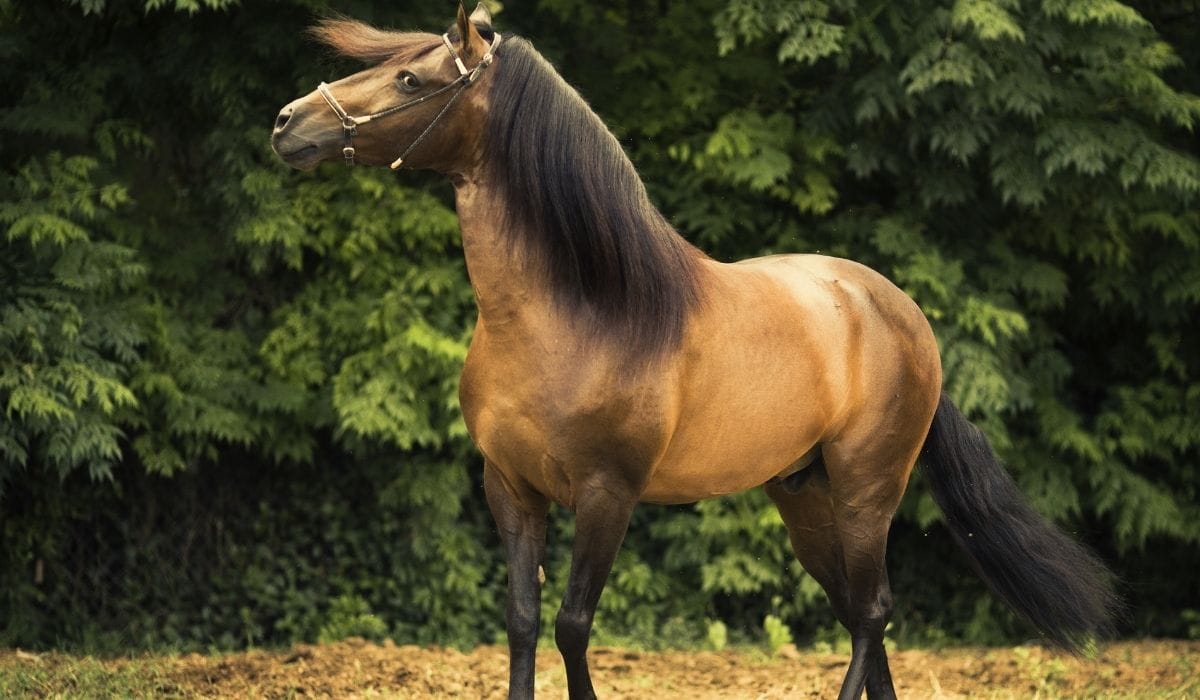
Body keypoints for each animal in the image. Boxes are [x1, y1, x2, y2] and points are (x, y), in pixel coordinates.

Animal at [271, 5, 1118, 698]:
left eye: (410, 77)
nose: (286, 122)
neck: (574, 314)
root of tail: (900, 312)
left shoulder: (607, 494)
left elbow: (574, 627)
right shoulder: (509, 488)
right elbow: (522, 623)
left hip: (866, 489)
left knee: (873, 611)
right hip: (801, 494)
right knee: (859, 615)